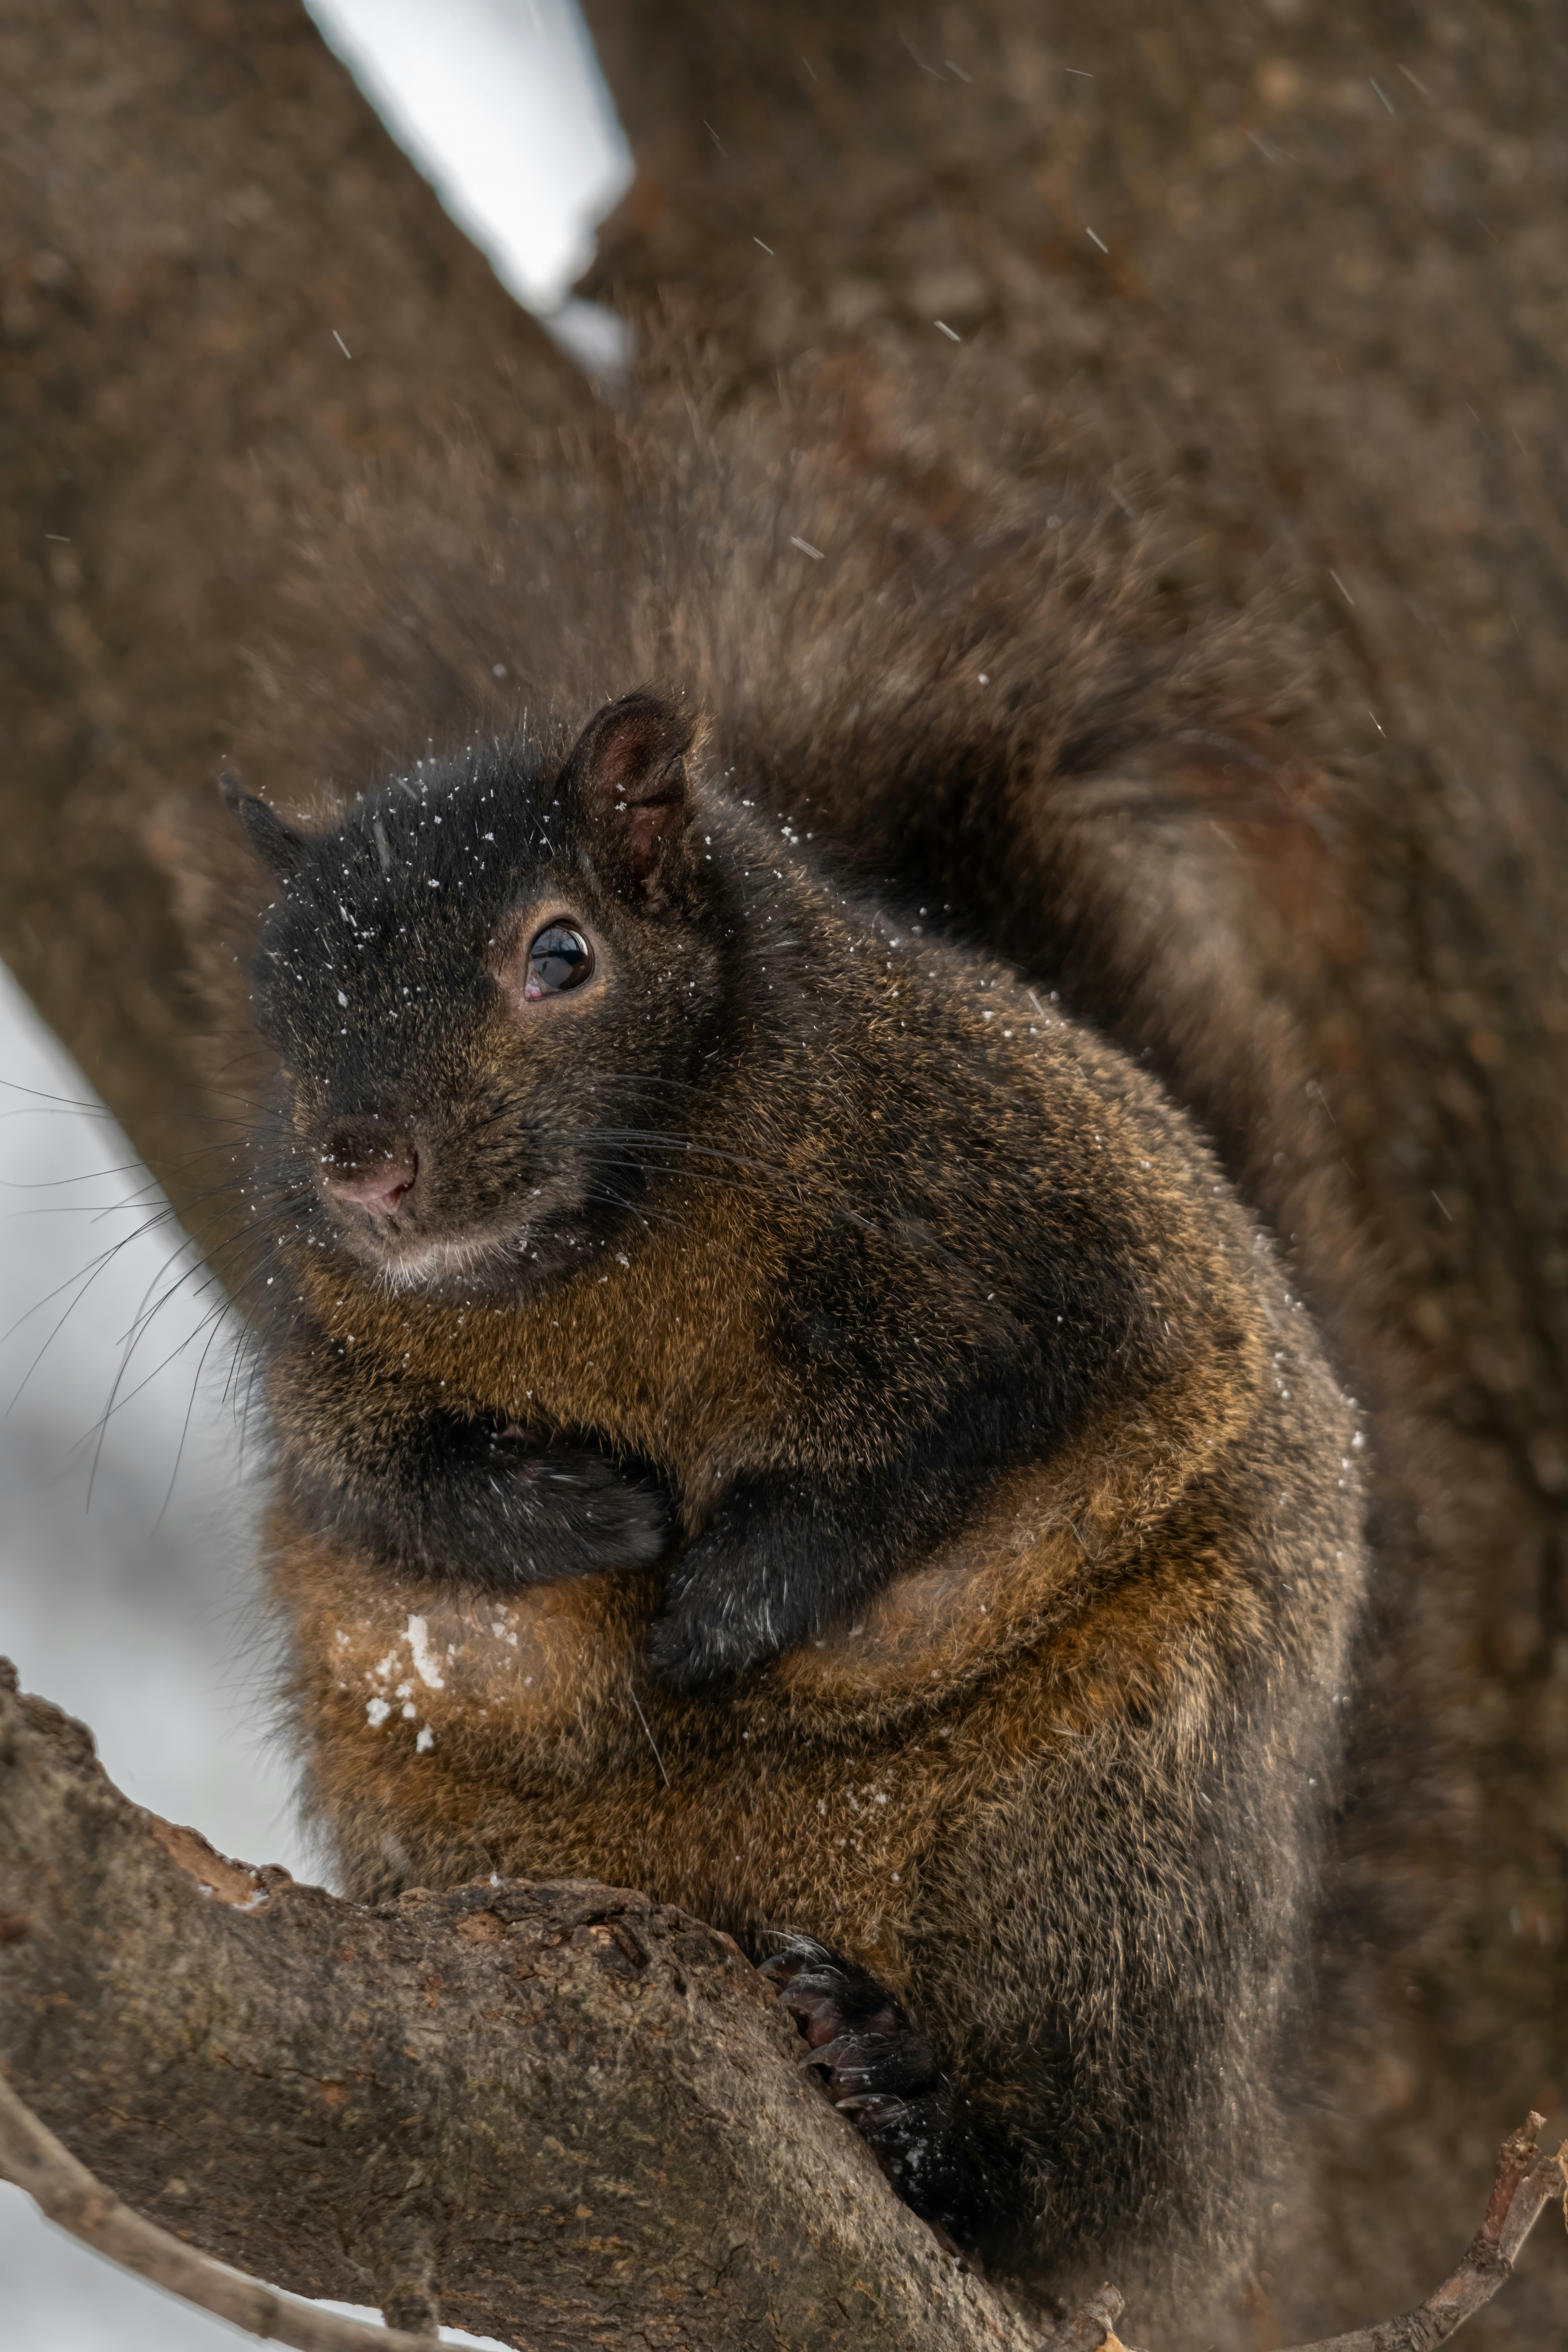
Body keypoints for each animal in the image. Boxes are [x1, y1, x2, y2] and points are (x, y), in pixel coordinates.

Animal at [228, 614, 1367, 2297]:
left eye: (560, 954)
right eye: (282, 1004)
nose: (362, 1165)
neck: (607, 1247)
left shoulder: (1067, 1233)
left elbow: (980, 1437)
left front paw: (733, 1595)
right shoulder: (321, 1354)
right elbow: (376, 1484)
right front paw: (588, 1517)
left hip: (1113, 1839)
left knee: (1078, 2192)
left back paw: (927, 2112)